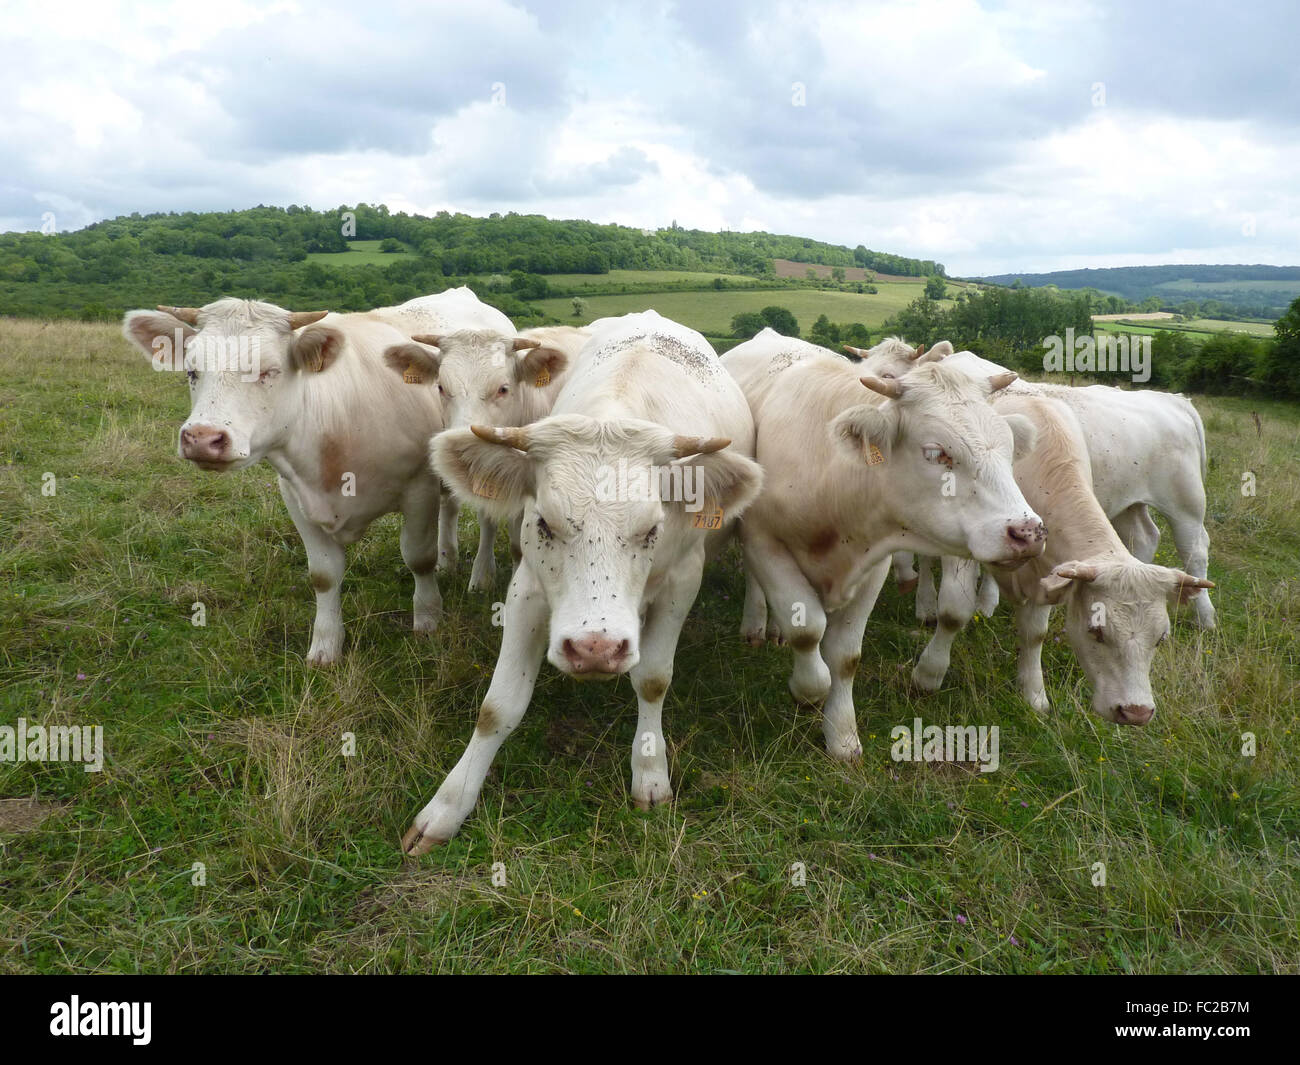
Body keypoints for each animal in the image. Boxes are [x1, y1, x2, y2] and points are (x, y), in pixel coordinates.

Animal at [121, 288, 509, 665]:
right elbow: (323, 575)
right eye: (191, 371)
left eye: (269, 371)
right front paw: (325, 647)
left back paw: (481, 575)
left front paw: (428, 621)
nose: (202, 438)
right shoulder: (296, 496)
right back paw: (449, 561)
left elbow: (418, 557)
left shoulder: (419, 487)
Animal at [722, 330, 1044, 762]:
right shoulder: (764, 543)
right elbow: (806, 630)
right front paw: (806, 692)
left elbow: (845, 657)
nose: (1027, 532)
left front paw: (841, 736)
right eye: (936, 452)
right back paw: (758, 624)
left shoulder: (873, 562)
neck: (831, 480)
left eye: (1009, 448)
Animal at [849, 339, 1216, 629]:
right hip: (1130, 501)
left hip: (1185, 503)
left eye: (888, 376)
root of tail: (1174, 400)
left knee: (1195, 550)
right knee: (1144, 535)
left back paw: (1206, 618)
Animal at [906, 392, 1213, 722]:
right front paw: (928, 674)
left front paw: (1033, 694)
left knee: (1188, 549)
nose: (1136, 713)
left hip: (1184, 505)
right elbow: (953, 612)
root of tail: (1174, 398)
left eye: (1160, 638)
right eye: (1096, 632)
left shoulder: (1049, 569)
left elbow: (1035, 634)